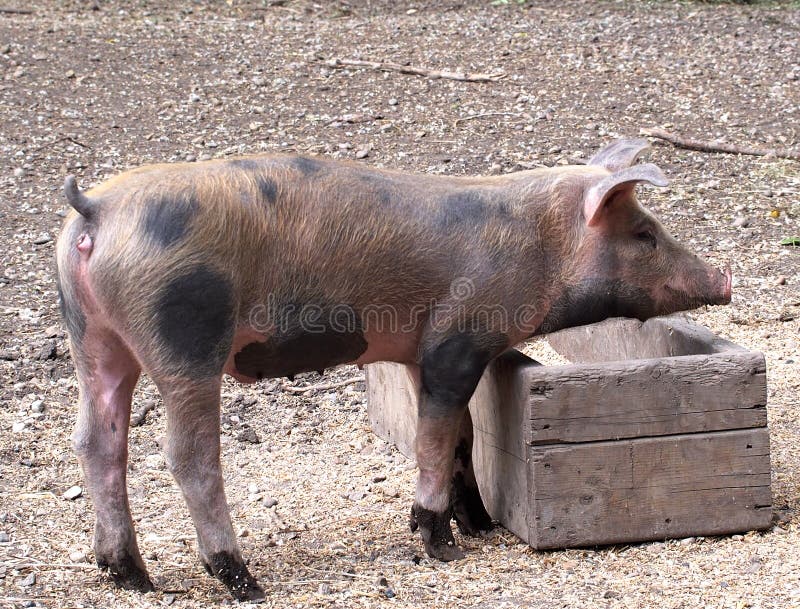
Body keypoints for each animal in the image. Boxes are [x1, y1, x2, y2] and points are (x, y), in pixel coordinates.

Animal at [55, 139, 731, 601]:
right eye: (643, 234)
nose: (723, 278)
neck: (541, 246)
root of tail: (94, 211)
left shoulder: (421, 354)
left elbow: (462, 438)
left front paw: (478, 528)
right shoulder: (454, 342)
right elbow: (435, 437)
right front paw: (443, 549)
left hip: (95, 339)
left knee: (95, 442)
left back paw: (130, 577)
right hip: (182, 341)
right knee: (187, 454)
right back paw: (245, 582)